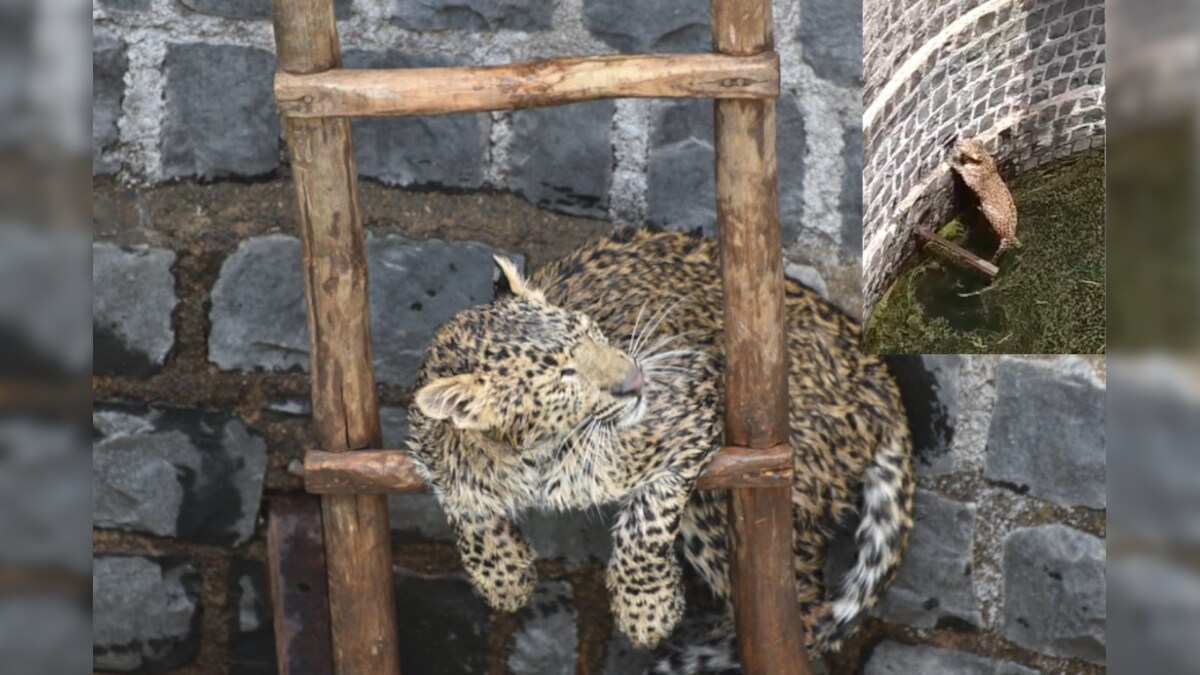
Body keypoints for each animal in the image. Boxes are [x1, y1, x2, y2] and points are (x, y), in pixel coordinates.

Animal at [405, 228, 915, 672]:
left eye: (590, 330)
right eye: (563, 377)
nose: (636, 381)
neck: (530, 453)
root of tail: (880, 381)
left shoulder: (688, 405)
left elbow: (646, 522)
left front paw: (647, 612)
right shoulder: (429, 445)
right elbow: (460, 500)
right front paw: (505, 579)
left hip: (736, 500)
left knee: (805, 612)